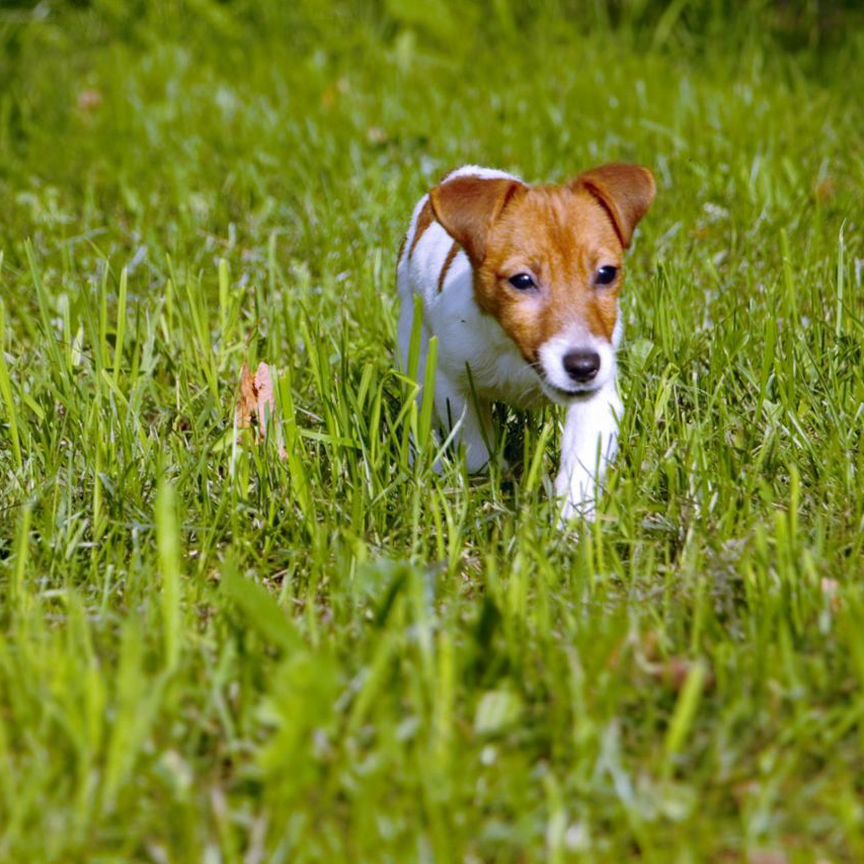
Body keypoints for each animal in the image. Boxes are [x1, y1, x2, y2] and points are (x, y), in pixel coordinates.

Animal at [398, 166, 656, 524]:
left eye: (607, 273)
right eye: (521, 280)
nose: (583, 366)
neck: (515, 354)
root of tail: (466, 171)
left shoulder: (597, 400)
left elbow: (581, 460)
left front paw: (571, 521)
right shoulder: (452, 384)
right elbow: (474, 446)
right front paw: (490, 483)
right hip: (413, 348)